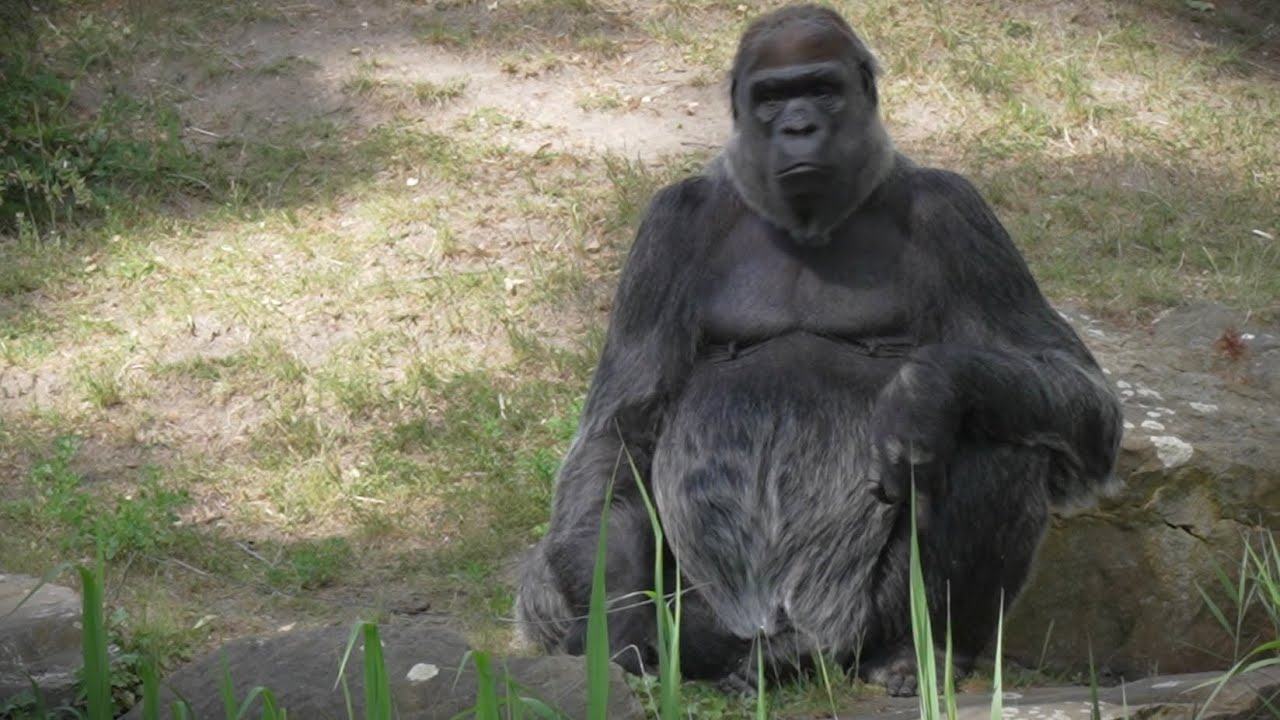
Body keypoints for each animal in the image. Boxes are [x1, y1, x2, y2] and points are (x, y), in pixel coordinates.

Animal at [515, 4, 1122, 697]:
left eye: (823, 89)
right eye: (772, 97)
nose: (799, 126)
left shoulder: (955, 211)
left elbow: (1079, 393)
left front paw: (926, 392)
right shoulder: (670, 224)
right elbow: (619, 433)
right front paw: (621, 620)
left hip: (852, 630)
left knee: (1001, 443)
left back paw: (917, 651)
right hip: (712, 619)